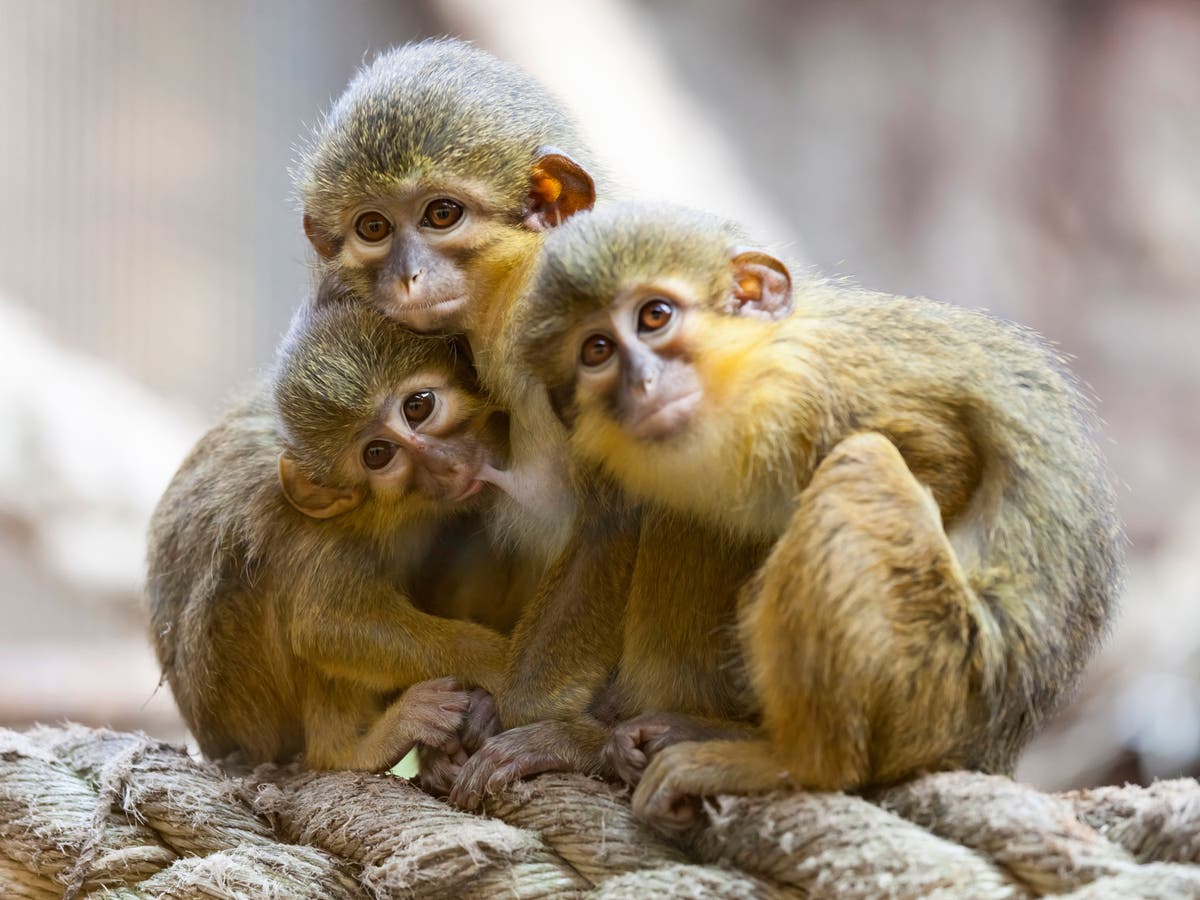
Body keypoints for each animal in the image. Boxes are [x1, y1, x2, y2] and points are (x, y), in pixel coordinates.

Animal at [147, 293, 511, 773]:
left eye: (418, 406)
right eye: (378, 454)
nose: (443, 461)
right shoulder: (319, 537)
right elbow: (326, 626)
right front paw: (501, 663)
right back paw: (354, 749)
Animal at [508, 202, 1123, 828]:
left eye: (654, 316)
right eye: (597, 351)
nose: (643, 383)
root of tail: (993, 749)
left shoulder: (802, 392)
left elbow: (945, 462)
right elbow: (610, 525)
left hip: (938, 687)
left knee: (860, 465)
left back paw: (797, 762)